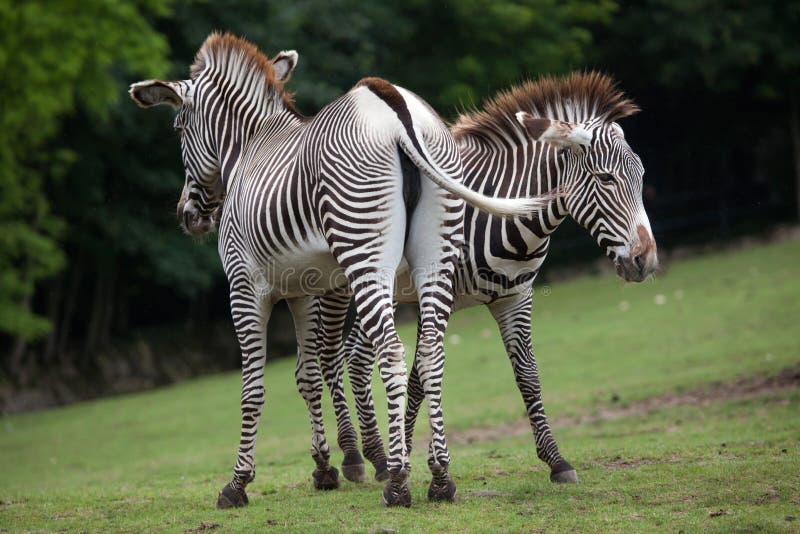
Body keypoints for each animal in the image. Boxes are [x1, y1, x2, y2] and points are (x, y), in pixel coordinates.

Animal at [129, 33, 548, 509]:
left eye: (178, 129)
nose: (188, 216)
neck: (250, 149)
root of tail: (392, 104)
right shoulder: (303, 290)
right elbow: (308, 375)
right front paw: (325, 468)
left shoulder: (245, 286)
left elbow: (254, 388)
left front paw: (238, 483)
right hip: (434, 255)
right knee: (430, 353)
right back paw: (440, 478)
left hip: (364, 253)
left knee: (391, 351)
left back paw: (398, 483)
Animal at [307, 72, 658, 488]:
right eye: (605, 178)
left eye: (641, 176)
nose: (646, 261)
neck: (501, 211)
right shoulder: (434, 295)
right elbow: (420, 376)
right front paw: (415, 459)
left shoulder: (516, 298)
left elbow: (527, 375)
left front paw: (556, 460)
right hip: (334, 284)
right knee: (326, 357)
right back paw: (347, 458)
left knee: (358, 356)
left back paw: (377, 455)